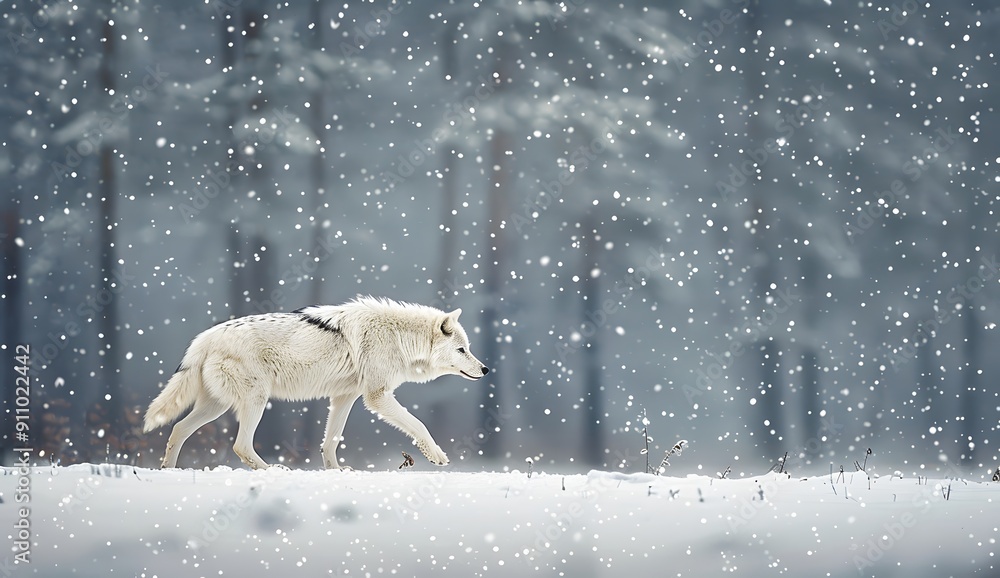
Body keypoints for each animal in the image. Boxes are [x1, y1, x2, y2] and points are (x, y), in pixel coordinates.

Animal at [143, 296, 489, 470]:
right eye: (462, 350)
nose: (486, 369)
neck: (399, 336)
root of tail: (204, 337)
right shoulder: (377, 396)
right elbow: (418, 424)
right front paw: (437, 456)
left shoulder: (345, 397)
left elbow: (330, 440)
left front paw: (335, 471)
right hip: (255, 400)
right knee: (240, 445)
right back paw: (273, 471)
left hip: (215, 407)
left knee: (177, 430)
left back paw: (168, 471)